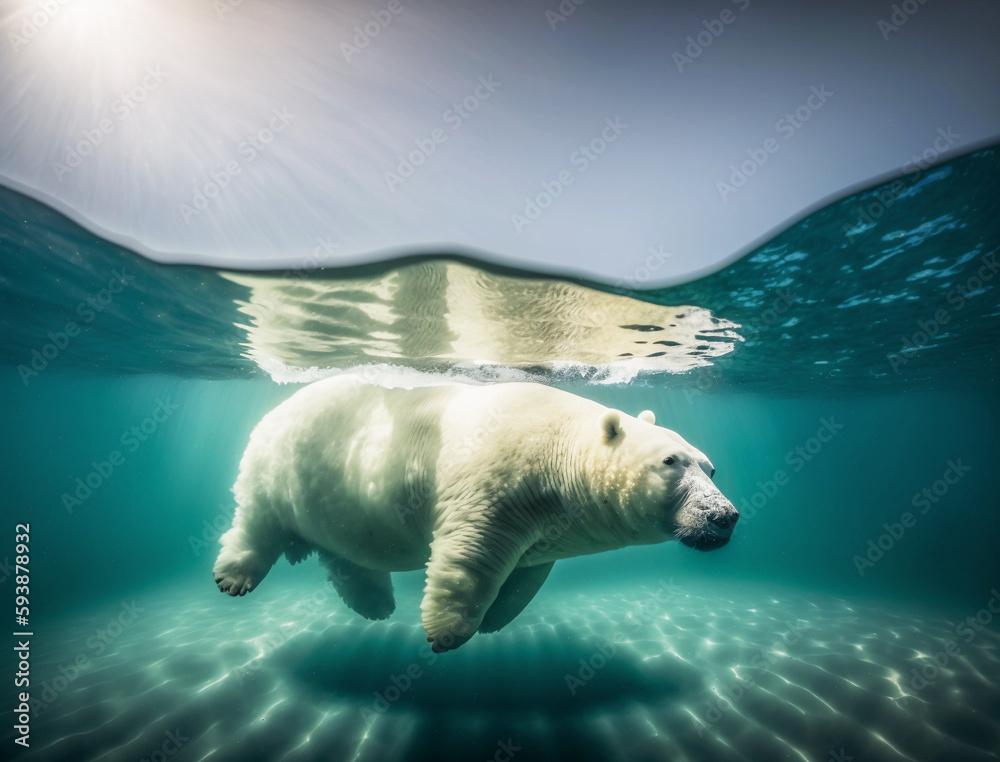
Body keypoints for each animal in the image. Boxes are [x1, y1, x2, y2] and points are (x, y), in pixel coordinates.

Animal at [213, 376, 738, 652]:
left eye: (711, 467)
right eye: (670, 462)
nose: (724, 516)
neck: (558, 452)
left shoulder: (551, 522)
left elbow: (529, 572)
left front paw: (496, 619)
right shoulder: (499, 481)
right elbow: (473, 555)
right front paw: (447, 632)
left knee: (348, 552)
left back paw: (374, 603)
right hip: (278, 464)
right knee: (257, 521)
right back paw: (234, 577)